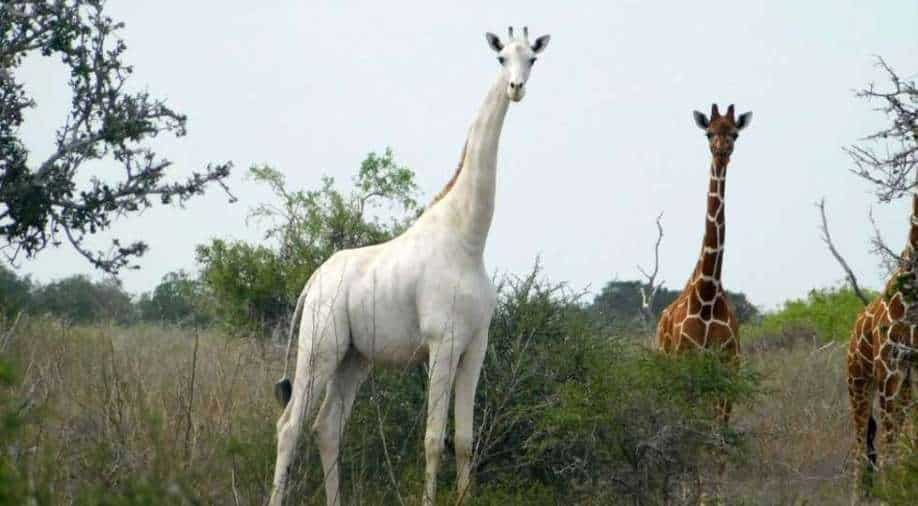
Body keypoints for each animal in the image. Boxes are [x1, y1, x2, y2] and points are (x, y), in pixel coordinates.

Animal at [268, 27, 551, 506]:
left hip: (354, 357)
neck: (468, 239)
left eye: (532, 58)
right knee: (289, 426)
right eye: (500, 58)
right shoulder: (442, 342)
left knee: (326, 426)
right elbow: (433, 438)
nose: (516, 88)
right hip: (320, 347)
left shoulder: (476, 344)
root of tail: (312, 282)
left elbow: (464, 439)